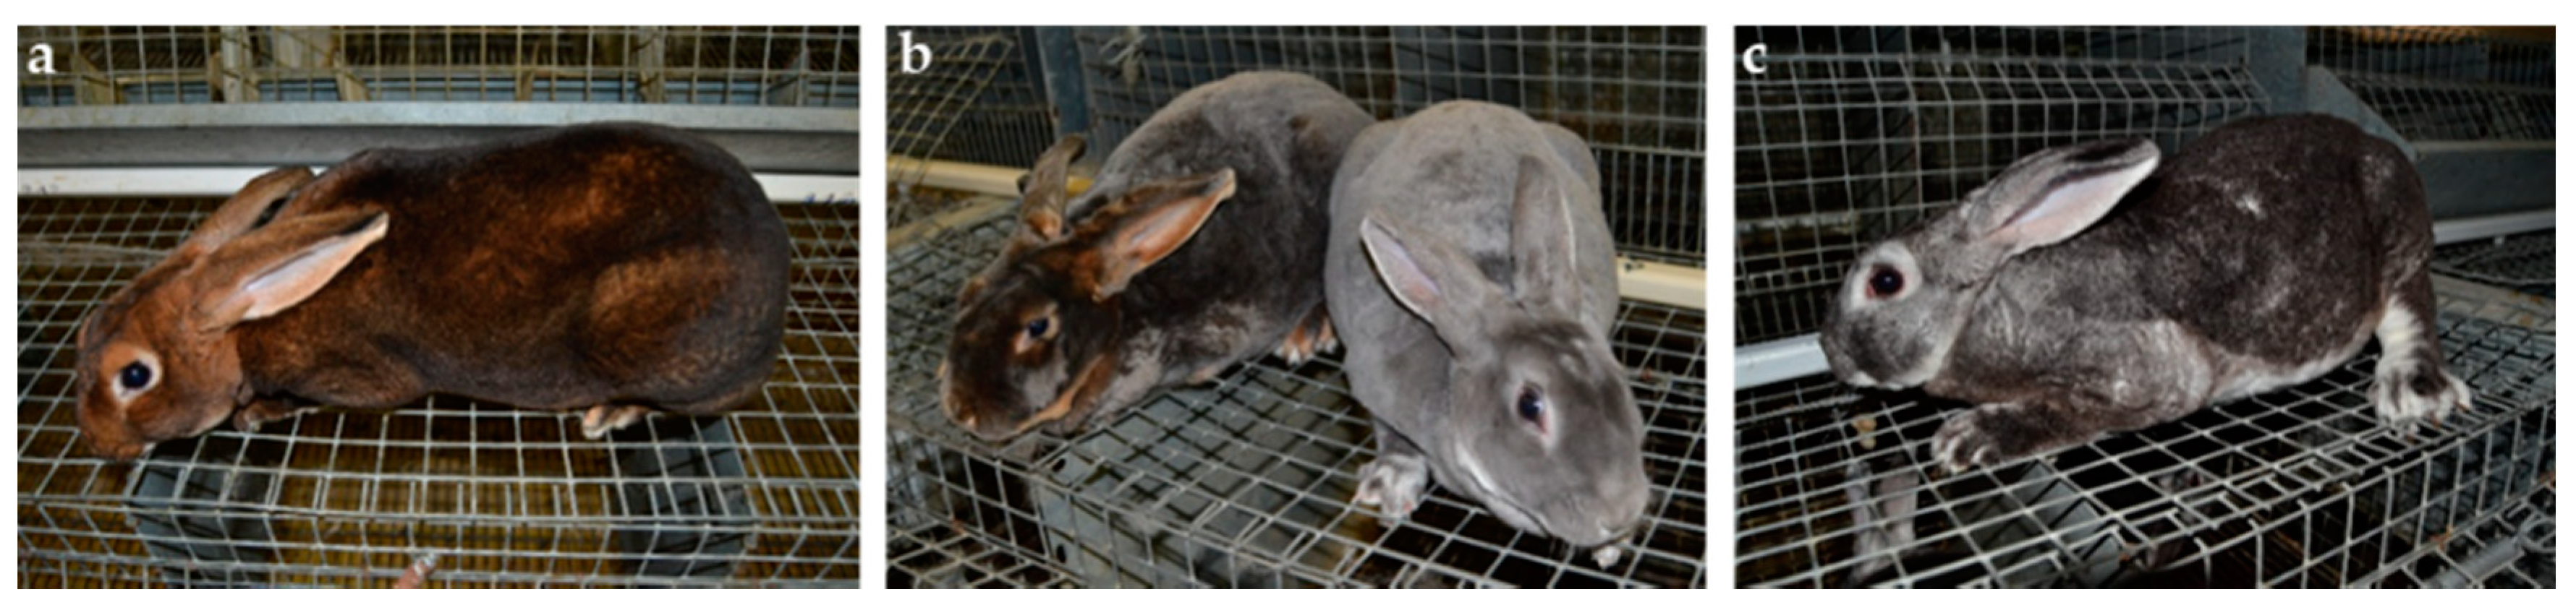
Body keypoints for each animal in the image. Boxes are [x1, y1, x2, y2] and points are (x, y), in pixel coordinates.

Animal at [72, 122, 791, 460]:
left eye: (134, 375)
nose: (97, 445)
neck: (247, 322)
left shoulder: (358, 377)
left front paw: (259, 413)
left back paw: (612, 412)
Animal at [1324, 100, 1649, 554]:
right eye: (1530, 406)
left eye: (1619, 378)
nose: (1623, 512)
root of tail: (1463, 105)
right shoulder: (1369, 378)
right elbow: (1389, 432)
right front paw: (1390, 484)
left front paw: (1614, 547)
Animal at [1819, 114, 2473, 472]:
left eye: (1883, 281)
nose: (1830, 351)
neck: (1984, 304)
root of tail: (2383, 150)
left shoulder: (2143, 373)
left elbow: (2073, 411)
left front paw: (1971, 439)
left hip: (2396, 244)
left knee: (2411, 310)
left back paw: (2412, 391)